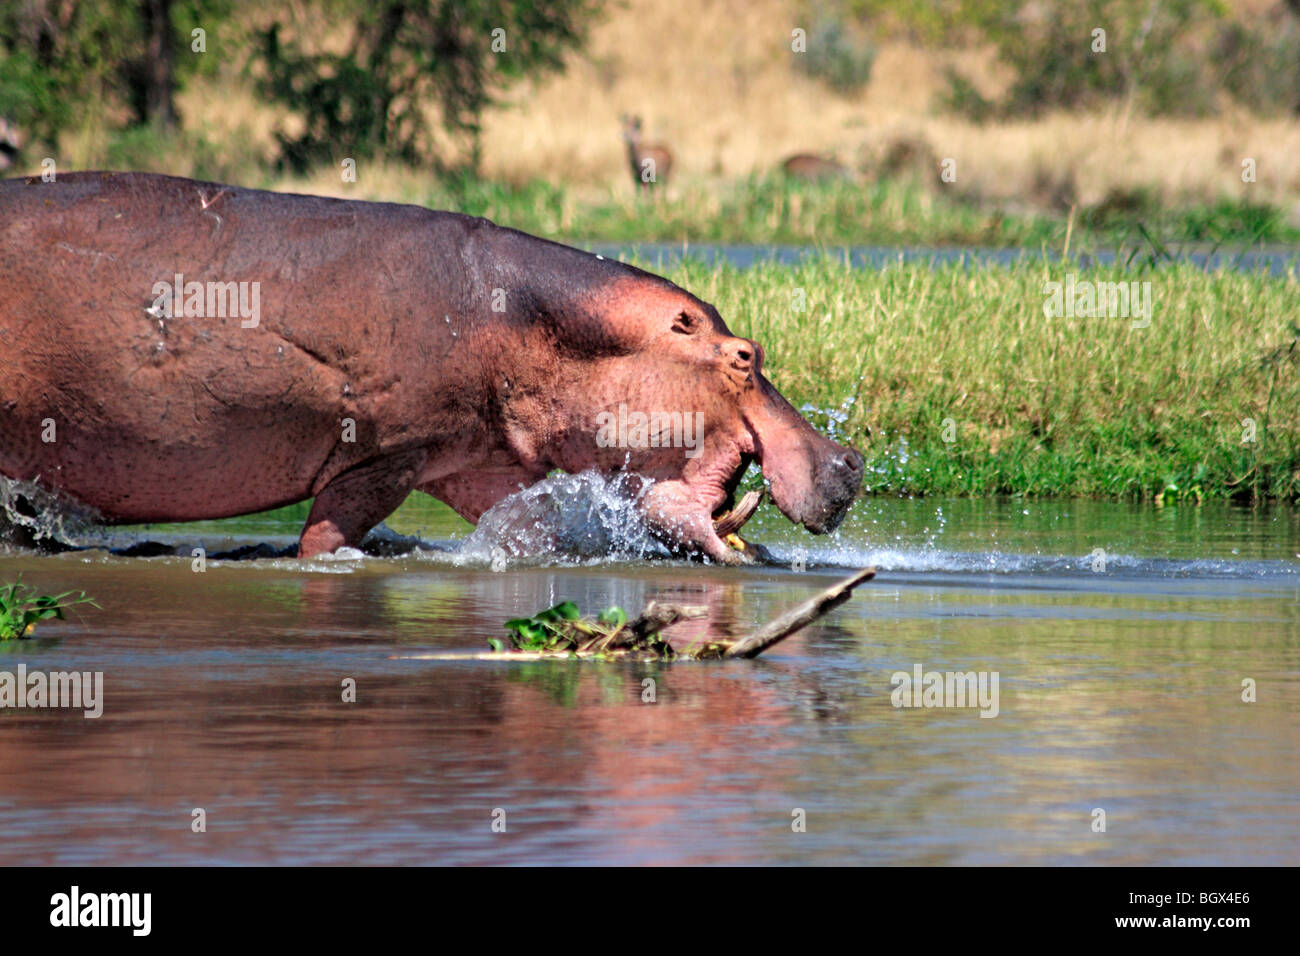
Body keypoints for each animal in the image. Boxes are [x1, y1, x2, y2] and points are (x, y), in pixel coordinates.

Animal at [0, 171, 862, 561]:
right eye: (743, 356)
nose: (850, 459)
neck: (530, 324)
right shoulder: (388, 453)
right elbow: (326, 540)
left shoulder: (477, 459)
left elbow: (532, 529)